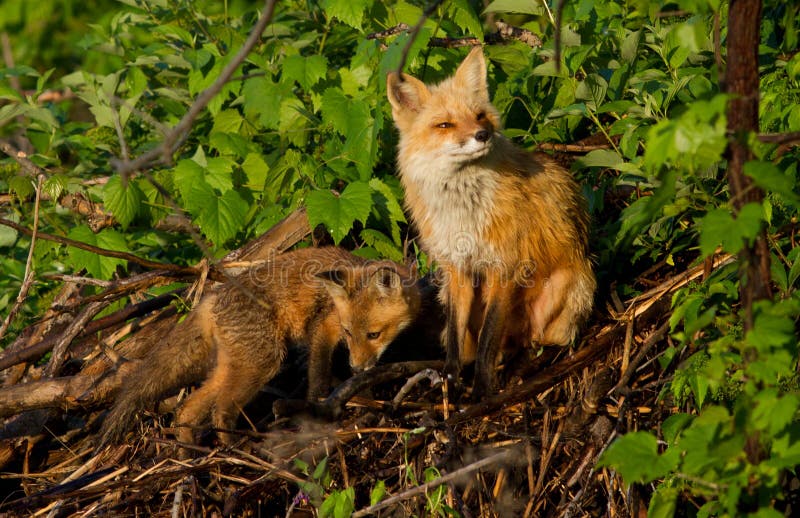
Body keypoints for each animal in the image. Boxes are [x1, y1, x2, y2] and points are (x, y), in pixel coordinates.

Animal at [99, 247, 421, 446]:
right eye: (348, 332)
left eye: (373, 335)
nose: (356, 365)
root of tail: (211, 299)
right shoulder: (322, 329)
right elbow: (318, 377)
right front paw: (319, 410)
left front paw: (365, 397)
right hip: (263, 362)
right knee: (221, 408)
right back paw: (233, 447)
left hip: (232, 364)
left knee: (187, 410)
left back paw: (189, 454)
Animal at [387, 46, 596, 399]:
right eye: (444, 124)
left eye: (480, 116)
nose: (482, 135)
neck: (463, 210)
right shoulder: (456, 270)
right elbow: (456, 341)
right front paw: (451, 381)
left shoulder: (505, 266)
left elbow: (488, 340)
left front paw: (482, 391)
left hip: (566, 287)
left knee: (541, 341)